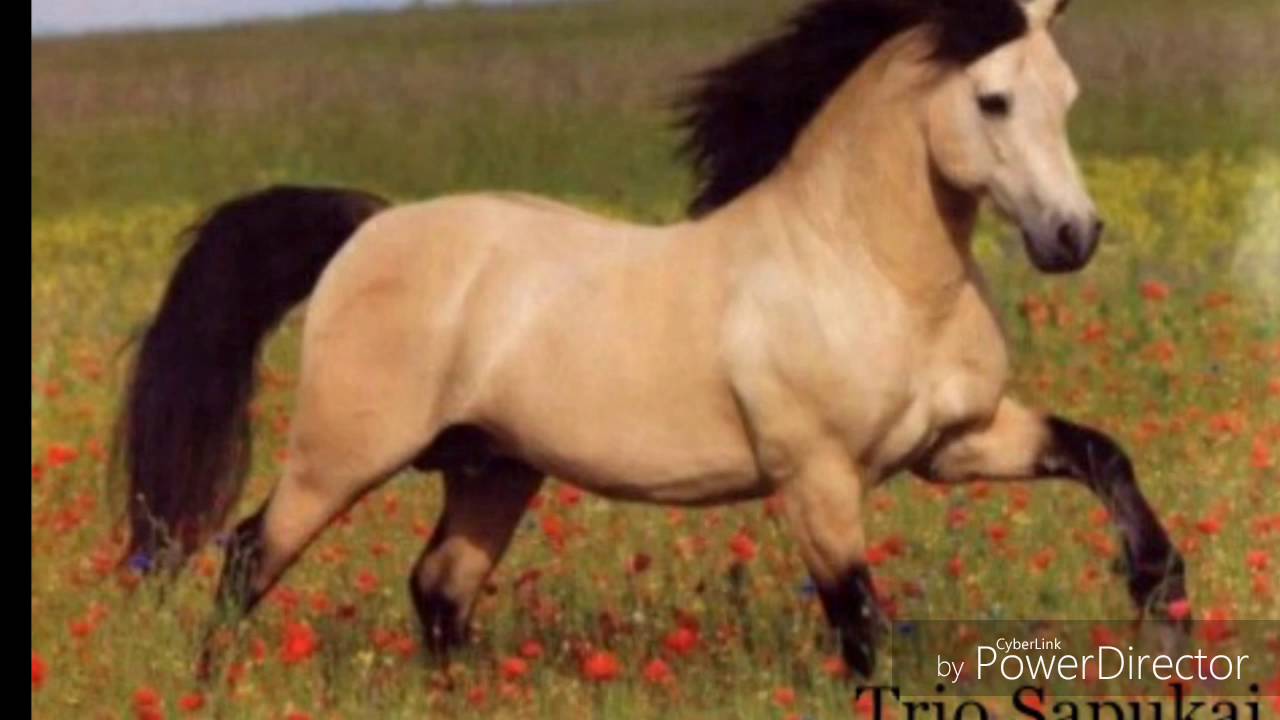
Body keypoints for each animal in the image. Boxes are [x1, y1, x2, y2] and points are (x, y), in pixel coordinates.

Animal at [117, 0, 1187, 677]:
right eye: (993, 99)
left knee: (438, 590)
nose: (1072, 237)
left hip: (493, 469)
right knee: (247, 557)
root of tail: (366, 230)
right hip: (339, 455)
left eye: (1069, 95)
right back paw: (208, 683)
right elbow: (859, 622)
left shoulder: (955, 445)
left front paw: (1160, 603)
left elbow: (1101, 455)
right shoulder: (817, 478)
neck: (862, 266)